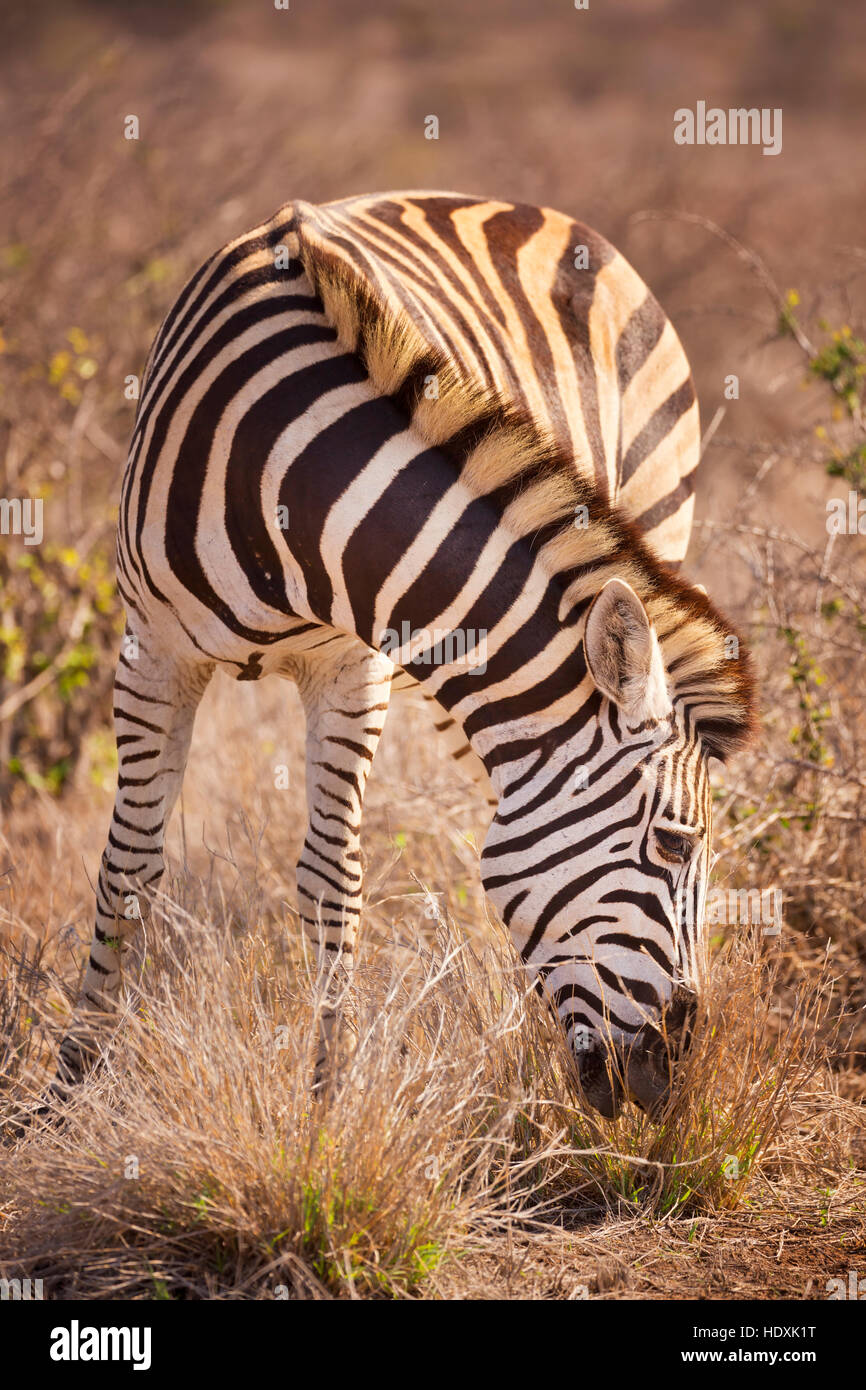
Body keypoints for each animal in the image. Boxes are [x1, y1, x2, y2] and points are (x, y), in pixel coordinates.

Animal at [55, 191, 755, 1118]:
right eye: (676, 844)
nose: (669, 1081)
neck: (291, 483)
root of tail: (532, 210)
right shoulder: (153, 653)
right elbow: (128, 874)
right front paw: (66, 1090)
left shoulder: (353, 669)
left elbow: (331, 882)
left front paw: (324, 1107)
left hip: (655, 512)